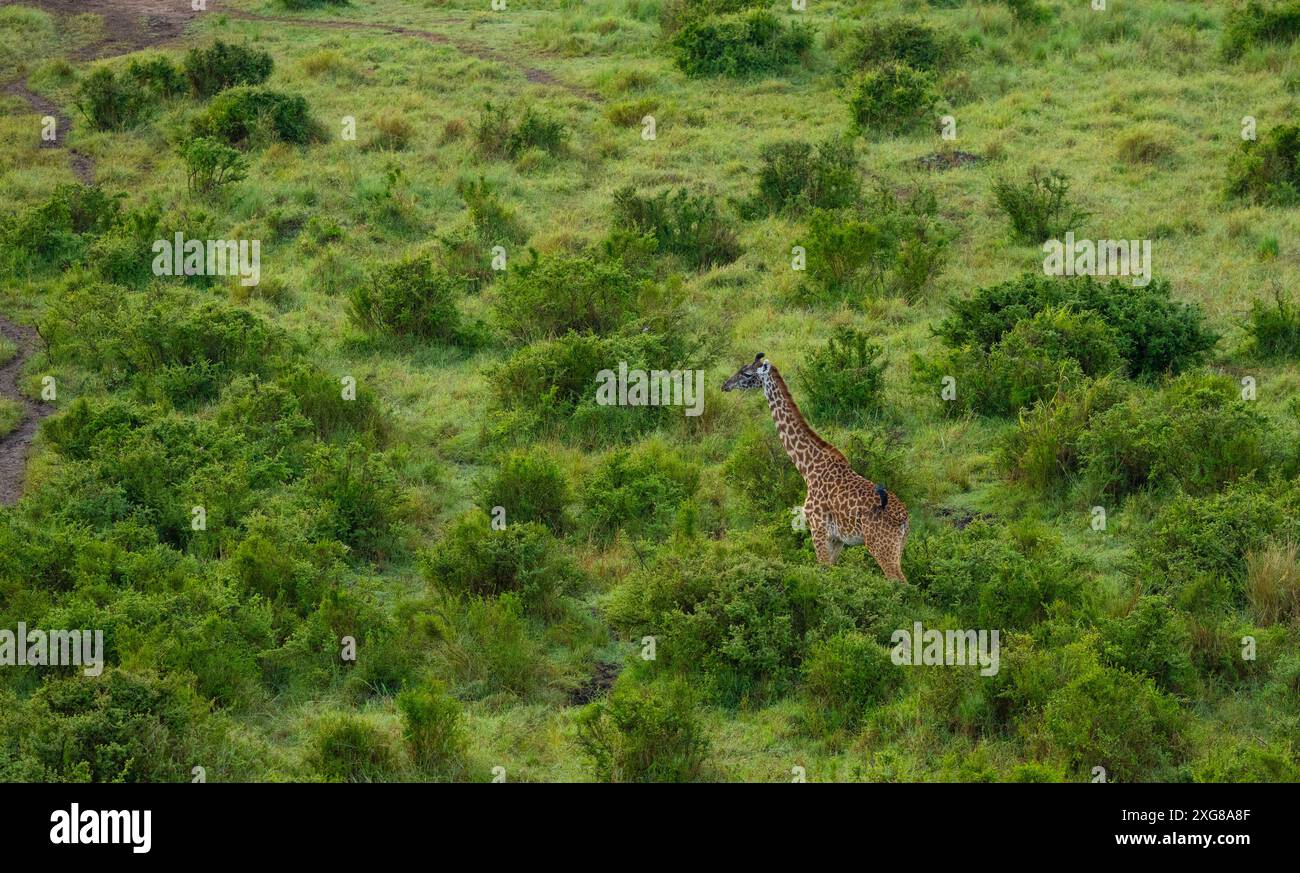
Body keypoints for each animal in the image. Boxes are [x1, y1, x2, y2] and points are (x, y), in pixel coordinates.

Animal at [722, 353, 909, 582]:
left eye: (747, 373)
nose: (725, 385)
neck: (808, 467)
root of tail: (904, 518)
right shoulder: (837, 539)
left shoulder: (817, 528)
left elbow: (822, 570)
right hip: (899, 546)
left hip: (881, 546)